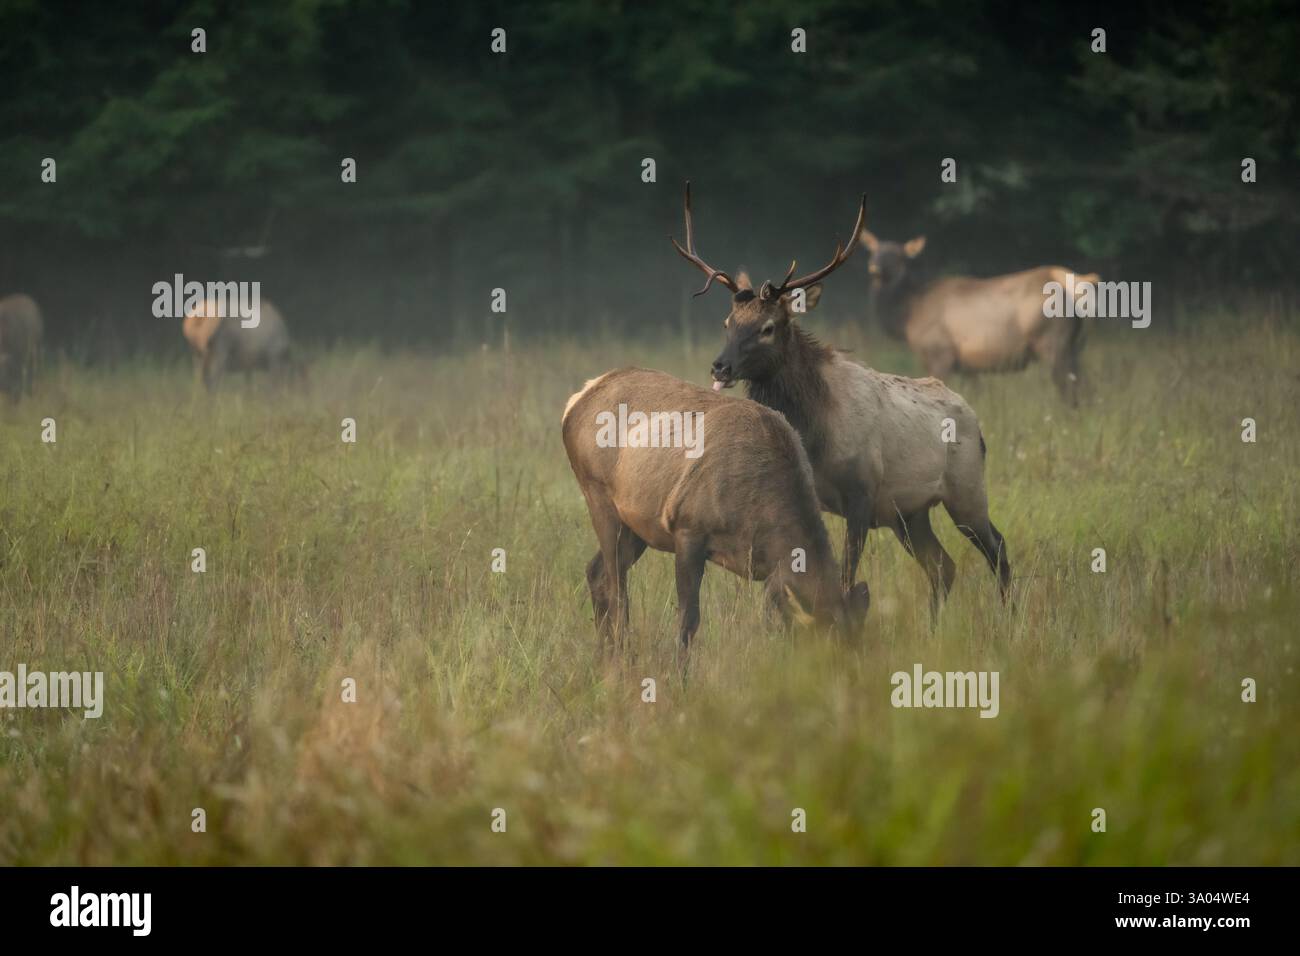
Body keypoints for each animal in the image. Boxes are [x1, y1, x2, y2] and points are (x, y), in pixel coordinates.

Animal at [562, 366, 870, 655]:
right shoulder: (688, 529)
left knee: (596, 572)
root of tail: (575, 402)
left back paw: (605, 655)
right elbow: (688, 620)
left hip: (636, 526)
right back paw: (622, 657)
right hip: (599, 497)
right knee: (617, 591)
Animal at [671, 183, 1010, 619]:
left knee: (997, 547)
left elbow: (848, 577)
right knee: (942, 566)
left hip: (966, 489)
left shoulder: (862, 491)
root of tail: (976, 421)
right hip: (910, 513)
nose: (720, 367)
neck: (817, 434)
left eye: (767, 327)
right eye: (728, 323)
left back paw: (1008, 616)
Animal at [859, 228, 1097, 406]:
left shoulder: (940, 352)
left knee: (1069, 388)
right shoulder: (968, 365)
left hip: (1051, 342)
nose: (874, 267)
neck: (907, 317)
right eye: (873, 250)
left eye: (897, 254)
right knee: (1084, 386)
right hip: (1075, 344)